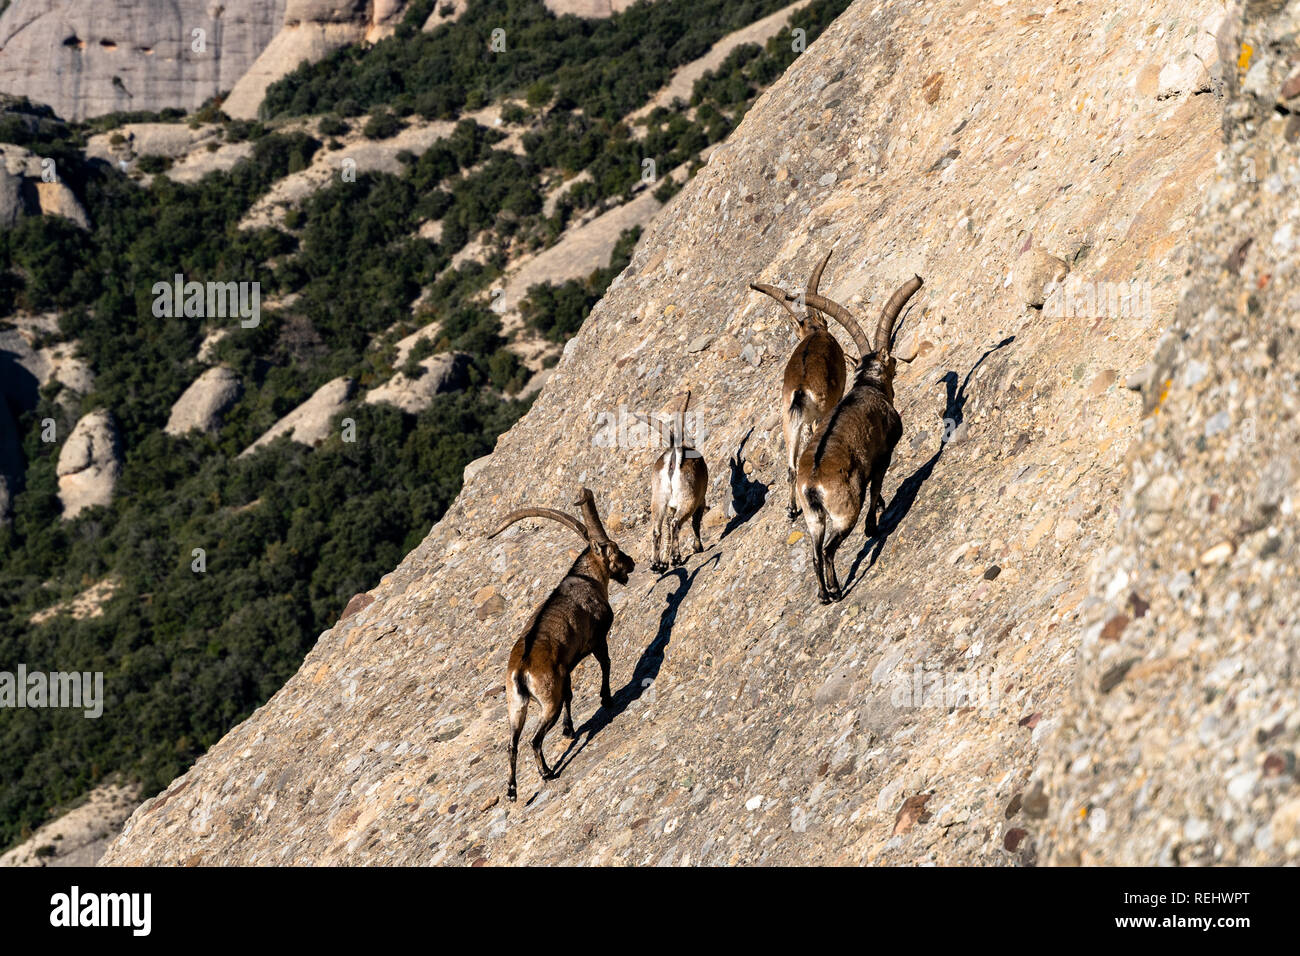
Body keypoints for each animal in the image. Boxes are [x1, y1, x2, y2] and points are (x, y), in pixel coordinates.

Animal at [488, 487, 635, 800]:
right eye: (615, 549)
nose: (631, 562)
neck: (587, 579)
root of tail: (521, 670)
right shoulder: (597, 639)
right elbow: (606, 664)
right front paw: (606, 698)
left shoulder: (564, 670)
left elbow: (570, 694)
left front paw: (569, 730)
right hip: (547, 700)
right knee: (533, 739)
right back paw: (547, 773)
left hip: (515, 704)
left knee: (512, 743)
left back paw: (512, 791)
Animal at [633, 390, 708, 573]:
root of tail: (674, 456)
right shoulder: (700, 499)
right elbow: (695, 523)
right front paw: (697, 547)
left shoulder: (670, 506)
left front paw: (663, 561)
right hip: (688, 497)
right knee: (675, 523)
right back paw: (676, 557)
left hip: (658, 498)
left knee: (657, 529)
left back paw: (656, 564)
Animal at [749, 250, 849, 521]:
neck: (814, 332)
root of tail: (801, 389)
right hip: (820, 411)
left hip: (788, 421)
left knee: (791, 468)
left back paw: (791, 509)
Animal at [792, 276, 924, 603]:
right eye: (891, 362)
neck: (868, 387)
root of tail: (812, 485)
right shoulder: (883, 454)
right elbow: (876, 486)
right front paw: (873, 525)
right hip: (844, 509)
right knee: (828, 550)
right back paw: (837, 591)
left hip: (813, 518)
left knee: (815, 553)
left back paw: (823, 595)